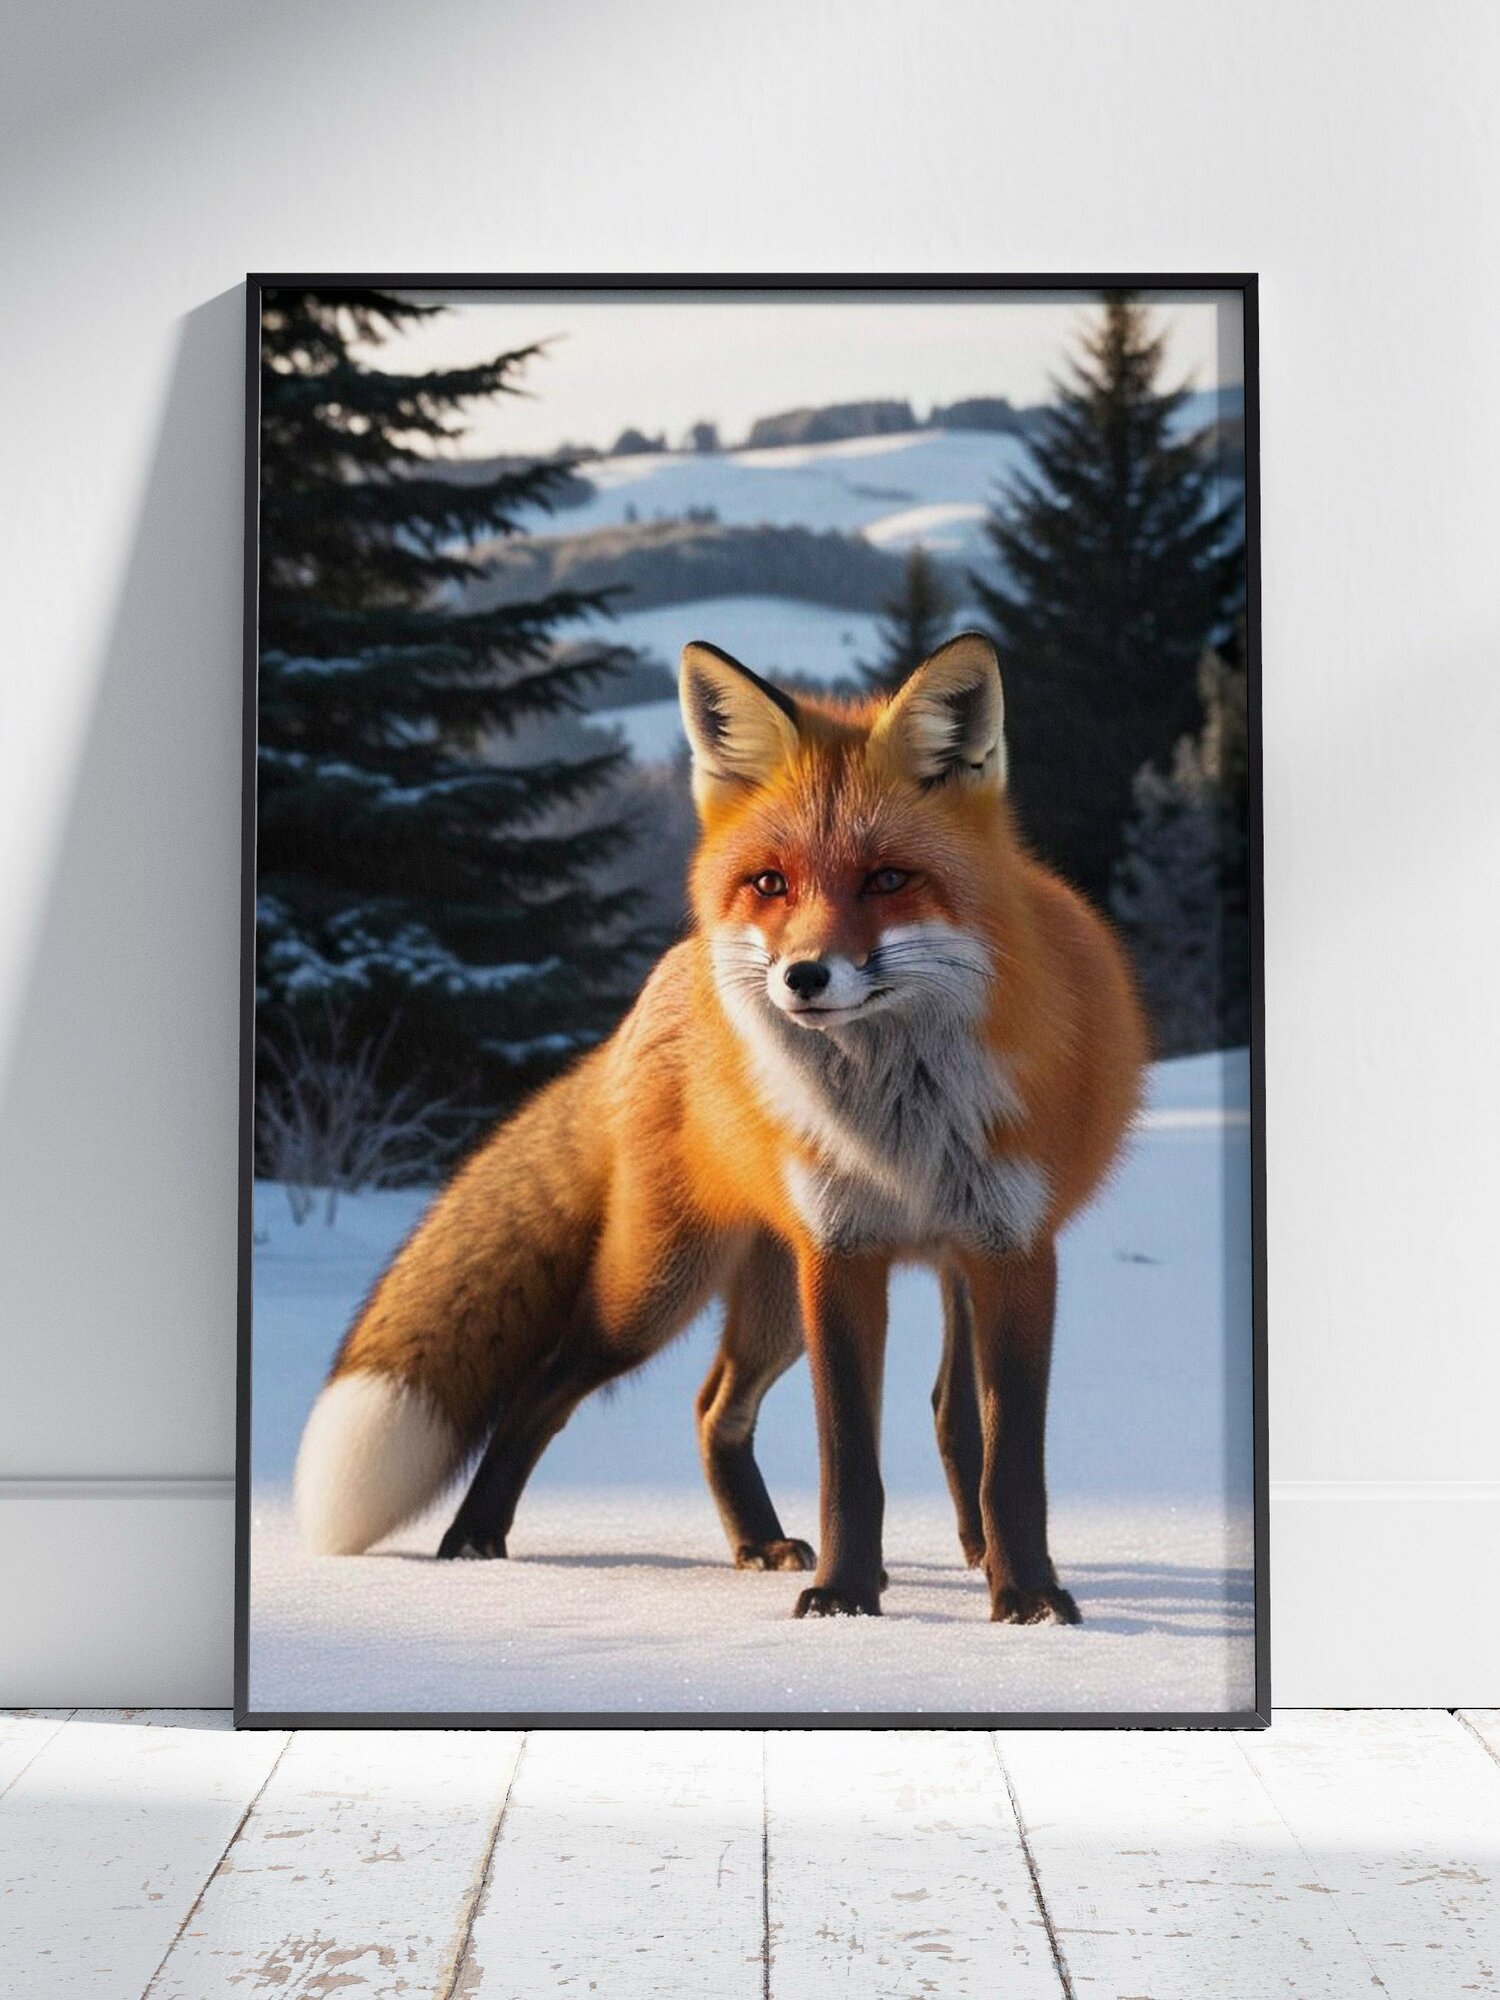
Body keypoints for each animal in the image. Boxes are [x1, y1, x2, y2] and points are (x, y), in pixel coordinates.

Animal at [293, 631, 1147, 1620]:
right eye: (771, 883)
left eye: (889, 880)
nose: (804, 977)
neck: (900, 1130)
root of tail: (666, 977)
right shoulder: (841, 1253)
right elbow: (848, 1460)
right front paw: (846, 1598)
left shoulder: (1012, 1251)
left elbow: (1009, 1459)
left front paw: (1029, 1602)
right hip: (662, 1286)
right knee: (548, 1385)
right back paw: (474, 1542)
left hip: (785, 1297)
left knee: (725, 1409)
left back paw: (769, 1543)